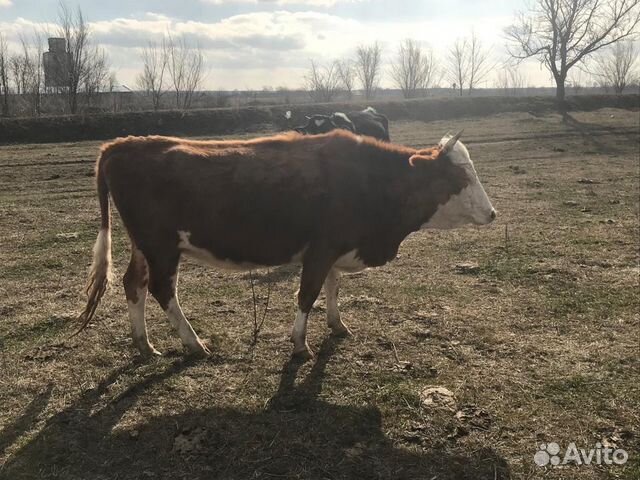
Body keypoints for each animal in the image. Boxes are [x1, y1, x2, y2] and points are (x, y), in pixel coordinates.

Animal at [77, 129, 496, 360]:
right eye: (458, 178)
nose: (492, 213)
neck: (369, 181)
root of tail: (123, 144)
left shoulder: (334, 250)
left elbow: (332, 287)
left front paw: (337, 324)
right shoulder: (321, 248)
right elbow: (307, 294)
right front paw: (299, 343)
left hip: (144, 246)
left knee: (134, 285)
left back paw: (144, 345)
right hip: (162, 247)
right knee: (163, 290)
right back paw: (193, 343)